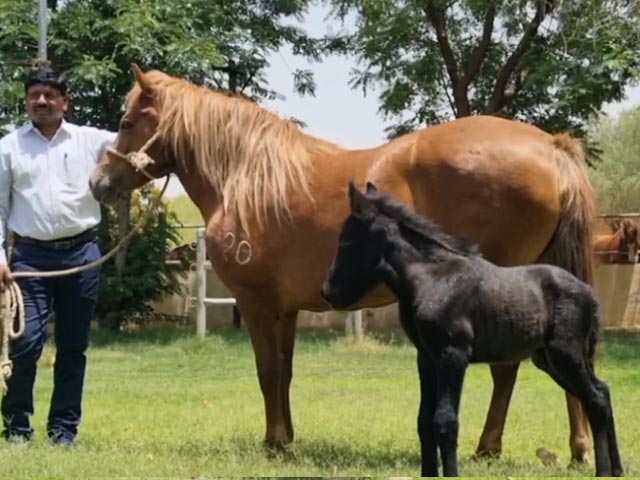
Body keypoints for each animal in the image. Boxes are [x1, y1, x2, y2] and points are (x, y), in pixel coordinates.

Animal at [89, 65, 598, 461]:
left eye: (127, 121)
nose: (98, 183)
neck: (246, 179)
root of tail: (550, 147)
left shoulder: (255, 304)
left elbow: (266, 370)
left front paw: (271, 442)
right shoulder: (286, 309)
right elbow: (284, 371)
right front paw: (286, 440)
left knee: (506, 369)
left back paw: (489, 448)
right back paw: (578, 448)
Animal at [321, 182, 622, 477]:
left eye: (345, 242)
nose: (327, 292)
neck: (431, 277)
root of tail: (590, 295)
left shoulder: (454, 353)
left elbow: (445, 421)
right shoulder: (426, 357)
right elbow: (423, 421)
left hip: (565, 354)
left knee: (595, 399)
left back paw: (604, 471)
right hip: (549, 360)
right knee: (602, 392)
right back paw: (618, 468)